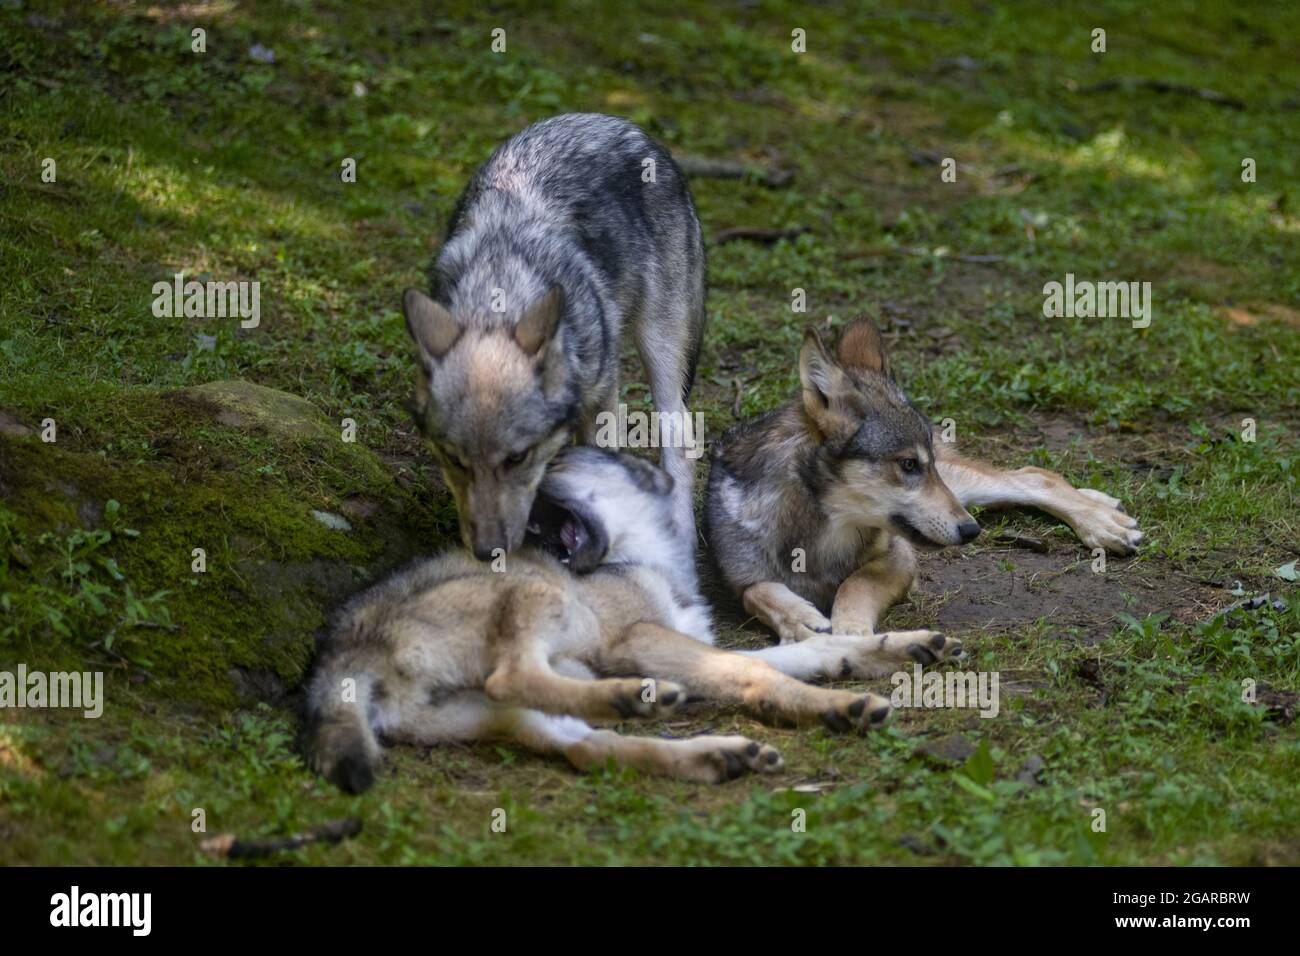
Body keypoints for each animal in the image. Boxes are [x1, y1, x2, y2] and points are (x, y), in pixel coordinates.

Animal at [306, 447, 961, 792]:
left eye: (551, 465)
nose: (498, 524)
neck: (639, 556)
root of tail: (340, 656)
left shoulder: (687, 640)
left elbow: (808, 651)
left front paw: (892, 651)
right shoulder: (639, 638)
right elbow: (764, 674)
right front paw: (833, 704)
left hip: (509, 715)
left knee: (590, 751)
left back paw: (716, 755)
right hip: (535, 604)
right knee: (514, 675)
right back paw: (636, 699)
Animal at [401, 113, 705, 565]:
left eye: (517, 457)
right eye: (455, 460)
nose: (488, 551)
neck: (500, 289)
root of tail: (621, 123)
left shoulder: (602, 396)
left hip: (661, 347)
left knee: (678, 434)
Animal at [705, 317, 1143, 644]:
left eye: (919, 463)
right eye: (908, 465)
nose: (971, 531)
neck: (821, 535)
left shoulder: (899, 559)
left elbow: (852, 588)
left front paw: (851, 634)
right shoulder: (740, 580)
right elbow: (762, 593)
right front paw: (802, 620)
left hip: (962, 485)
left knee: (1035, 477)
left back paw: (1104, 525)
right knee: (1030, 474)